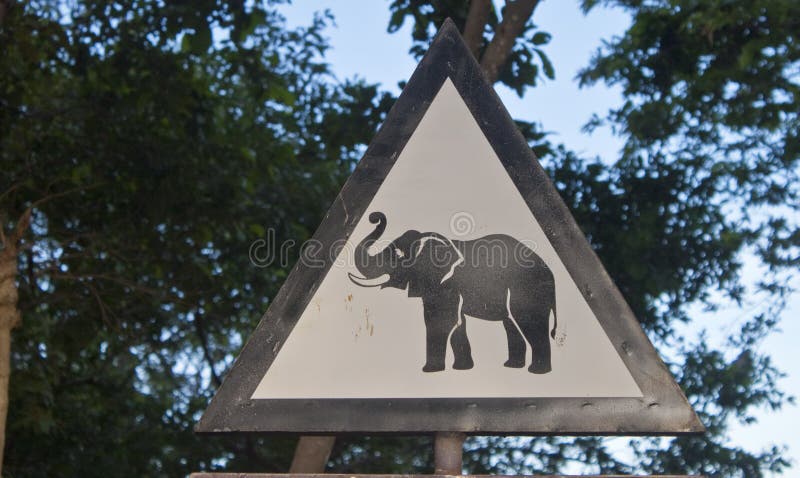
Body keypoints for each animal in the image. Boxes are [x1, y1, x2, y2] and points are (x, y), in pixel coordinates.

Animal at [348, 211, 557, 374]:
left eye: (398, 255)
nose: (374, 217)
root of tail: (551, 273)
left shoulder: (446, 286)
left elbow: (441, 320)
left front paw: (430, 371)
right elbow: (458, 322)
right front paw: (462, 369)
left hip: (528, 291)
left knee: (529, 323)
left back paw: (537, 372)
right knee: (512, 324)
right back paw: (512, 367)